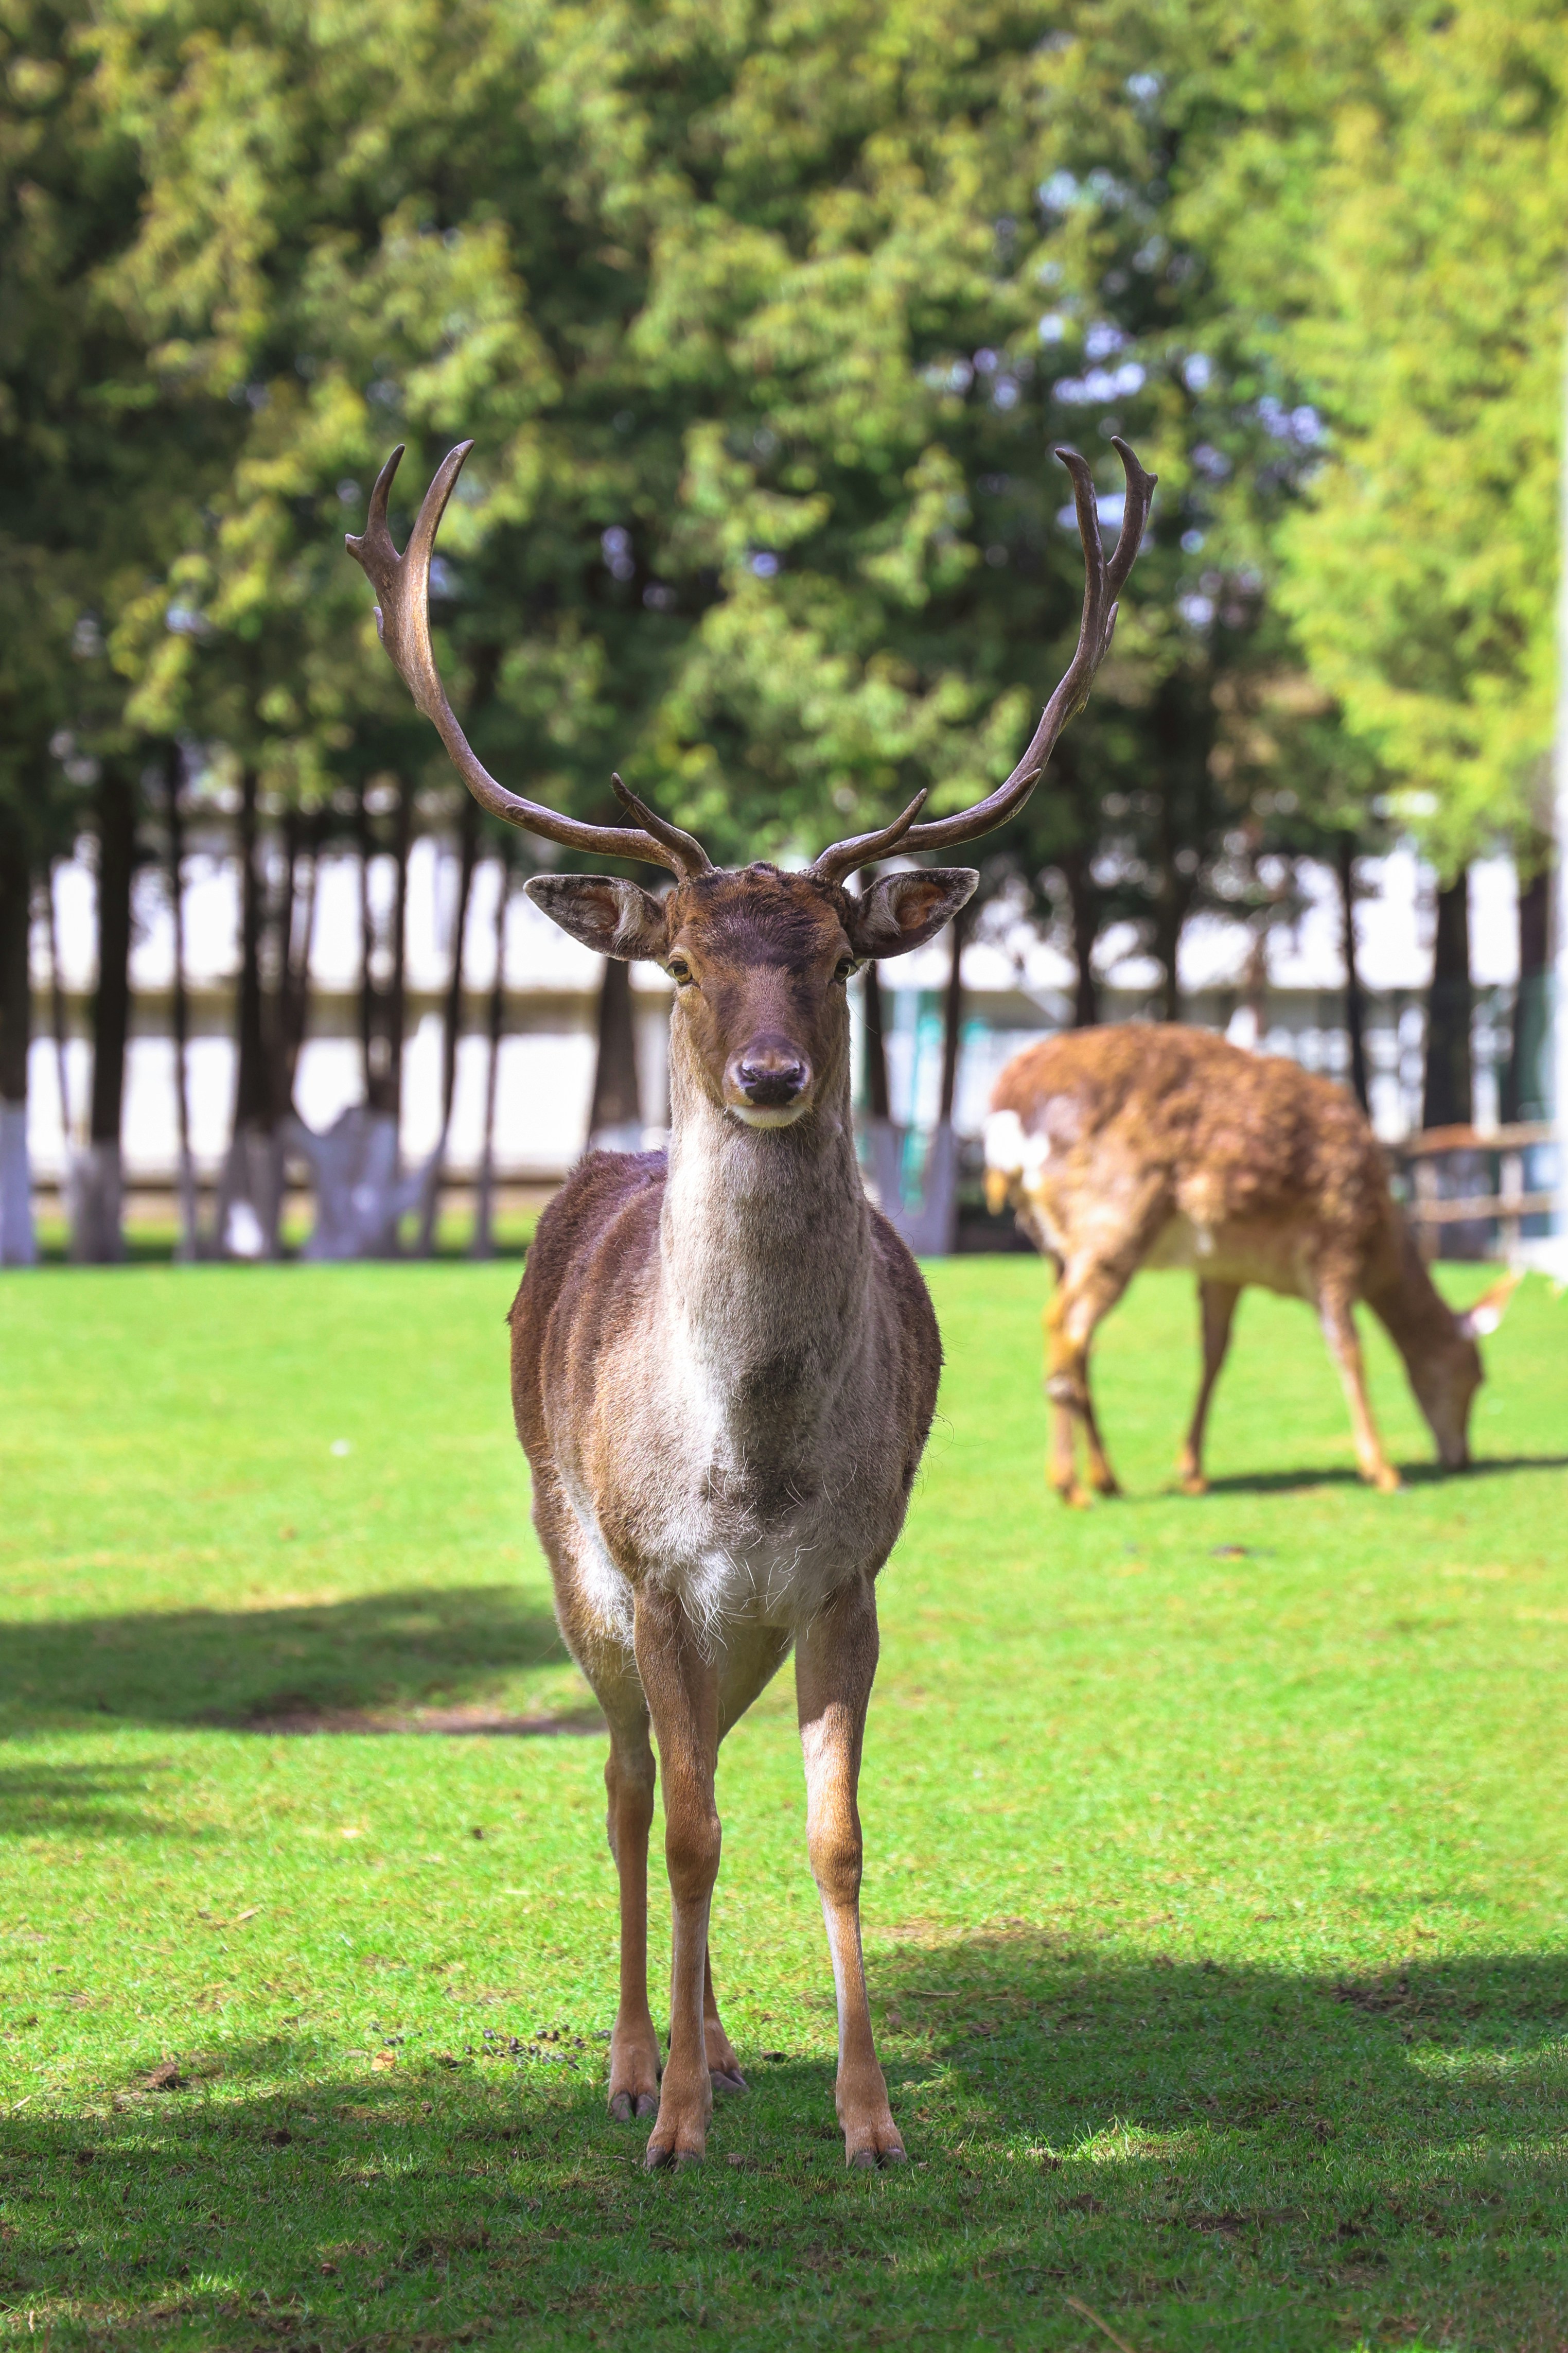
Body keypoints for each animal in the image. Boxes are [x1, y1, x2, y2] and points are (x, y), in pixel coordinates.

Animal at [347, 431, 1155, 2168]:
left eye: (839, 957)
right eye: (682, 963)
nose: (773, 1073)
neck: (754, 1460)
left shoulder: (845, 1573)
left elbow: (827, 1833)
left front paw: (868, 2115)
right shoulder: (655, 1567)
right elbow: (686, 1828)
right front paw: (673, 2124)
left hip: (740, 1619)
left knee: (694, 1761)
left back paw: (716, 2049)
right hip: (572, 1552)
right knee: (631, 1783)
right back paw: (641, 2063)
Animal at [983, 1023, 1517, 1506]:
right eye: (1475, 1374)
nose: (1461, 1458)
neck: (1381, 1244)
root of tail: (1008, 1111)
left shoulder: (1224, 1267)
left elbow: (1214, 1353)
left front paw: (1193, 1471)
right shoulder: (1334, 1242)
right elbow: (1348, 1348)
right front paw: (1383, 1470)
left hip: (1056, 1242)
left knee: (1078, 1342)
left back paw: (1105, 1478)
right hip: (1114, 1217)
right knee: (1064, 1325)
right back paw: (1070, 1485)